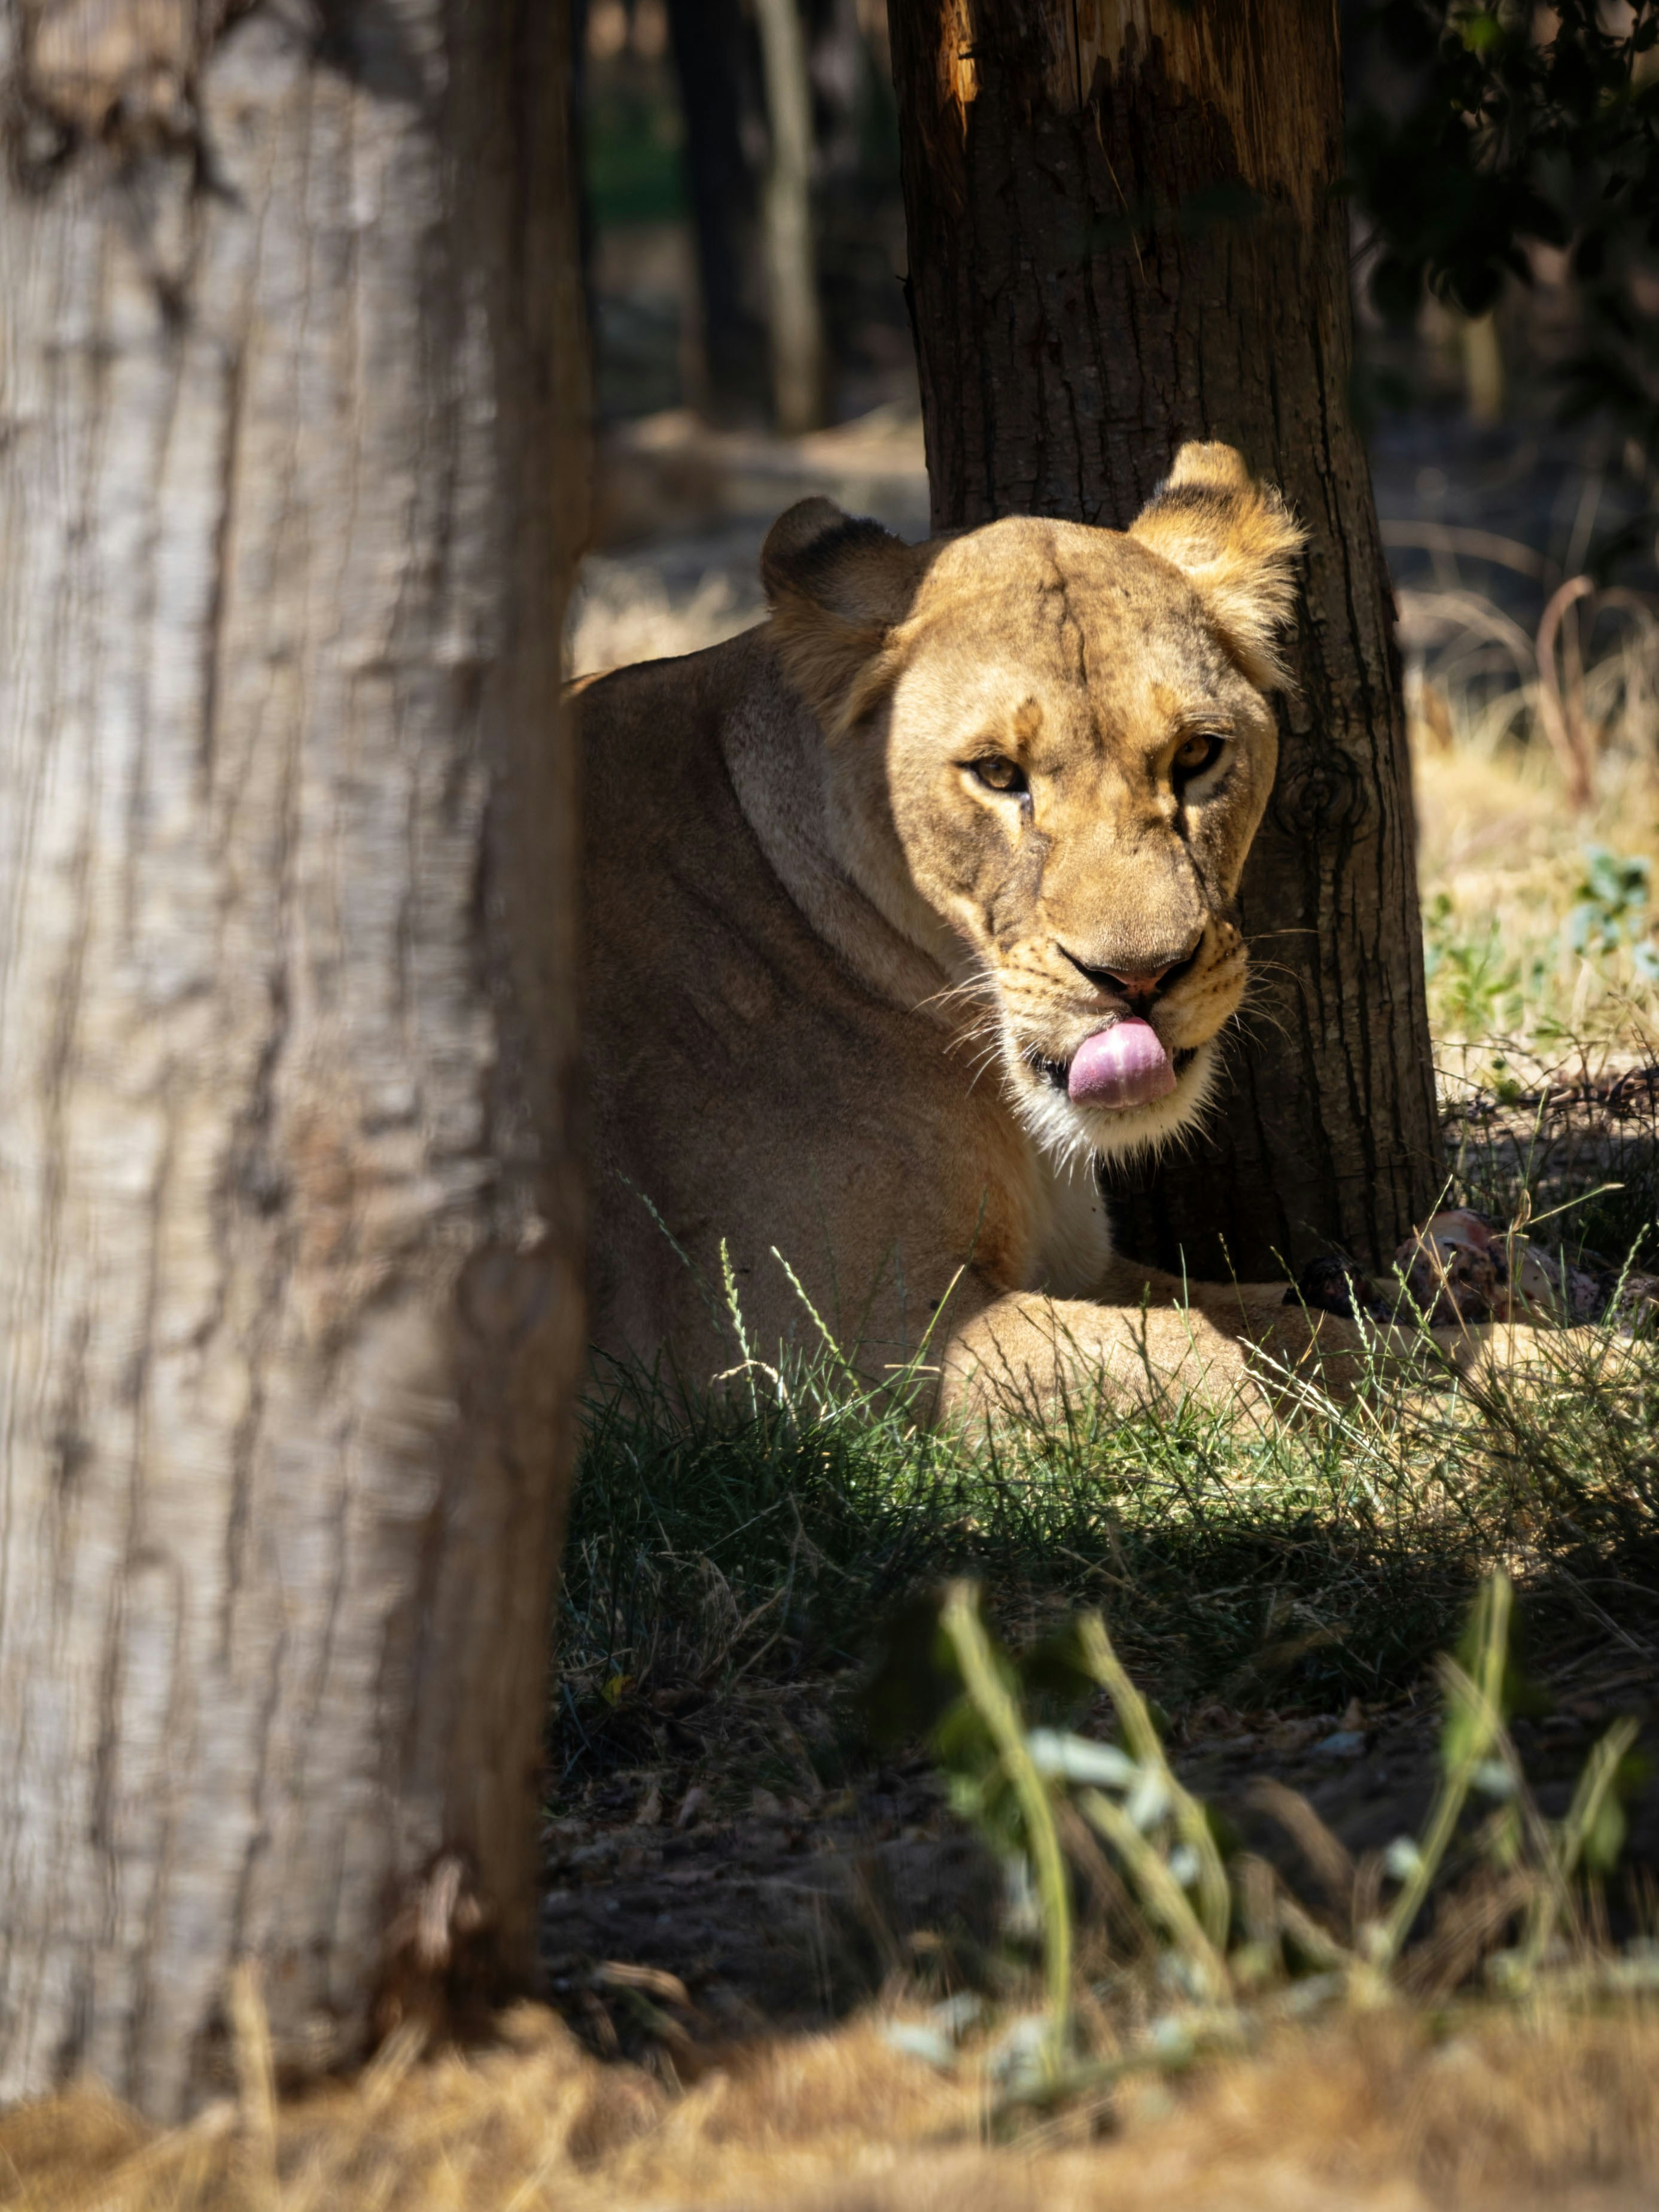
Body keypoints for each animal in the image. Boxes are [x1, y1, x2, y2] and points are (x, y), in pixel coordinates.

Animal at [578, 442, 1362, 1418]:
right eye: (995, 773)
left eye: (1195, 755)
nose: (1141, 979)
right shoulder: (819, 1354)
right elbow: (1215, 1353)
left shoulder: (1082, 1263)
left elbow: (1261, 1312)